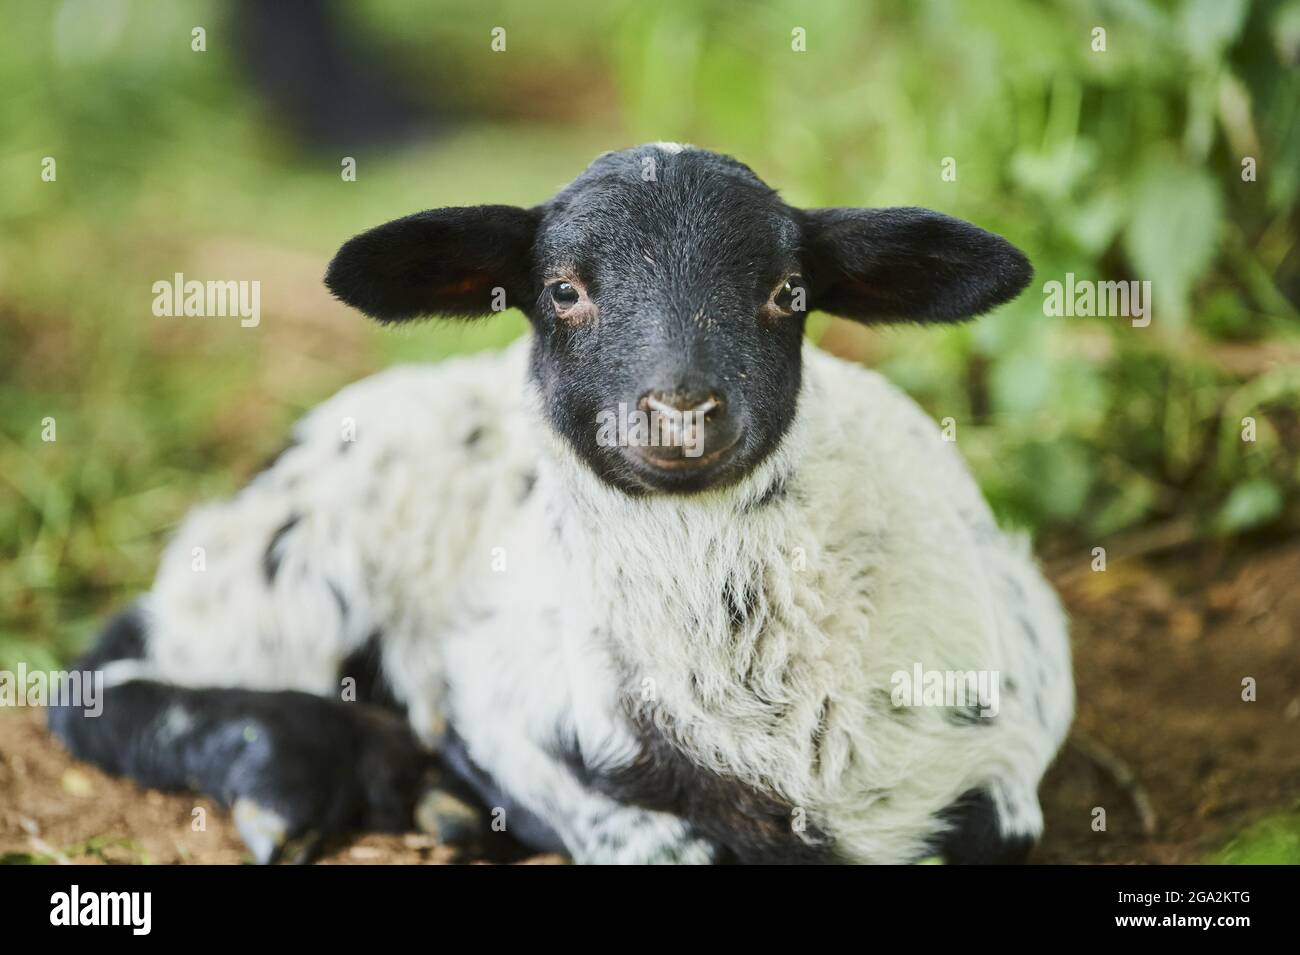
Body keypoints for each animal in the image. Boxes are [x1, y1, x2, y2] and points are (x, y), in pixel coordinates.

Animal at [50, 143, 1074, 864]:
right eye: (562, 290)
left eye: (789, 292)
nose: (681, 410)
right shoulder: (495, 695)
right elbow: (646, 837)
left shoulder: (1005, 760)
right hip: (300, 562)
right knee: (102, 679)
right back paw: (294, 777)